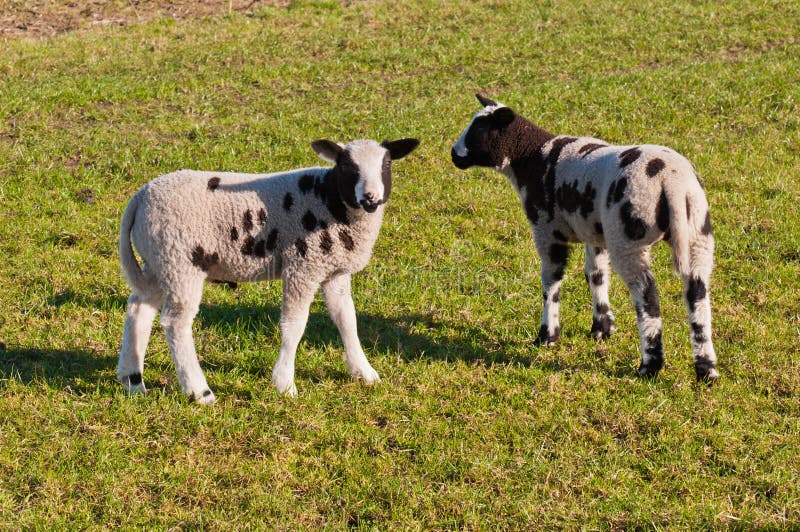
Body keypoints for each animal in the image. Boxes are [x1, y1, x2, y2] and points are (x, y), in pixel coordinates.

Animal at [117, 137, 420, 403]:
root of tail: (141, 197)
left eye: (387, 163)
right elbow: (295, 325)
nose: (371, 198)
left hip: (159, 262)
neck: (329, 198)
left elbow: (346, 319)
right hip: (180, 262)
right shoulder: (303, 266)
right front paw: (285, 383)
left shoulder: (334, 270)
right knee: (176, 323)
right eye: (347, 166)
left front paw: (364, 372)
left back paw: (133, 380)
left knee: (139, 308)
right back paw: (199, 392)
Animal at [451, 94, 718, 382]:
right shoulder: (595, 231)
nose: (454, 154)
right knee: (697, 294)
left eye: (479, 131)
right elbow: (596, 275)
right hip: (697, 234)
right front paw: (602, 328)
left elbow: (551, 283)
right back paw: (706, 370)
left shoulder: (547, 230)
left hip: (628, 236)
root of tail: (672, 182)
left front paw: (547, 336)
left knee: (647, 297)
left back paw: (650, 366)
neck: (531, 157)